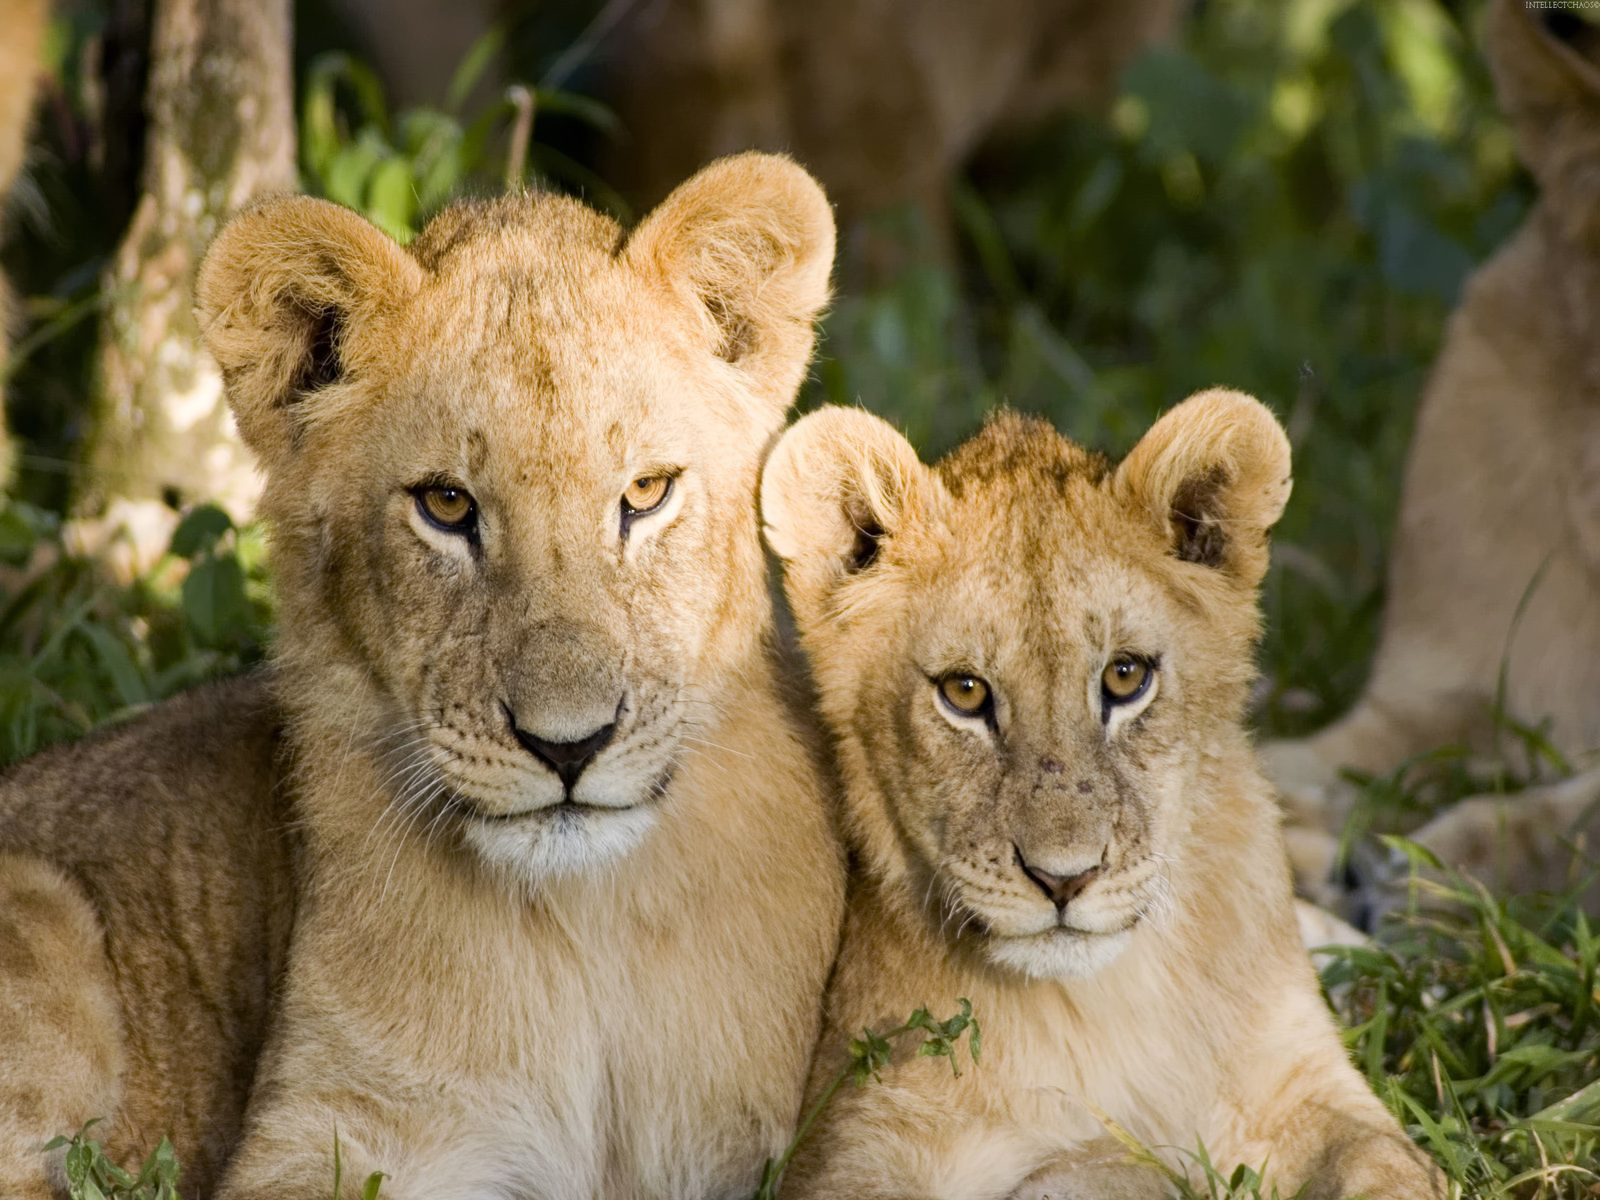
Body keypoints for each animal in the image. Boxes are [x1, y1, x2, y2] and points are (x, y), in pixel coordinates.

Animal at [760, 393, 1444, 1199]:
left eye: (1125, 676)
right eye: (965, 692)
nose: (1064, 880)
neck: (1097, 1005)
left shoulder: (1301, 1082)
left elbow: (1389, 1166)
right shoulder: (856, 1139)